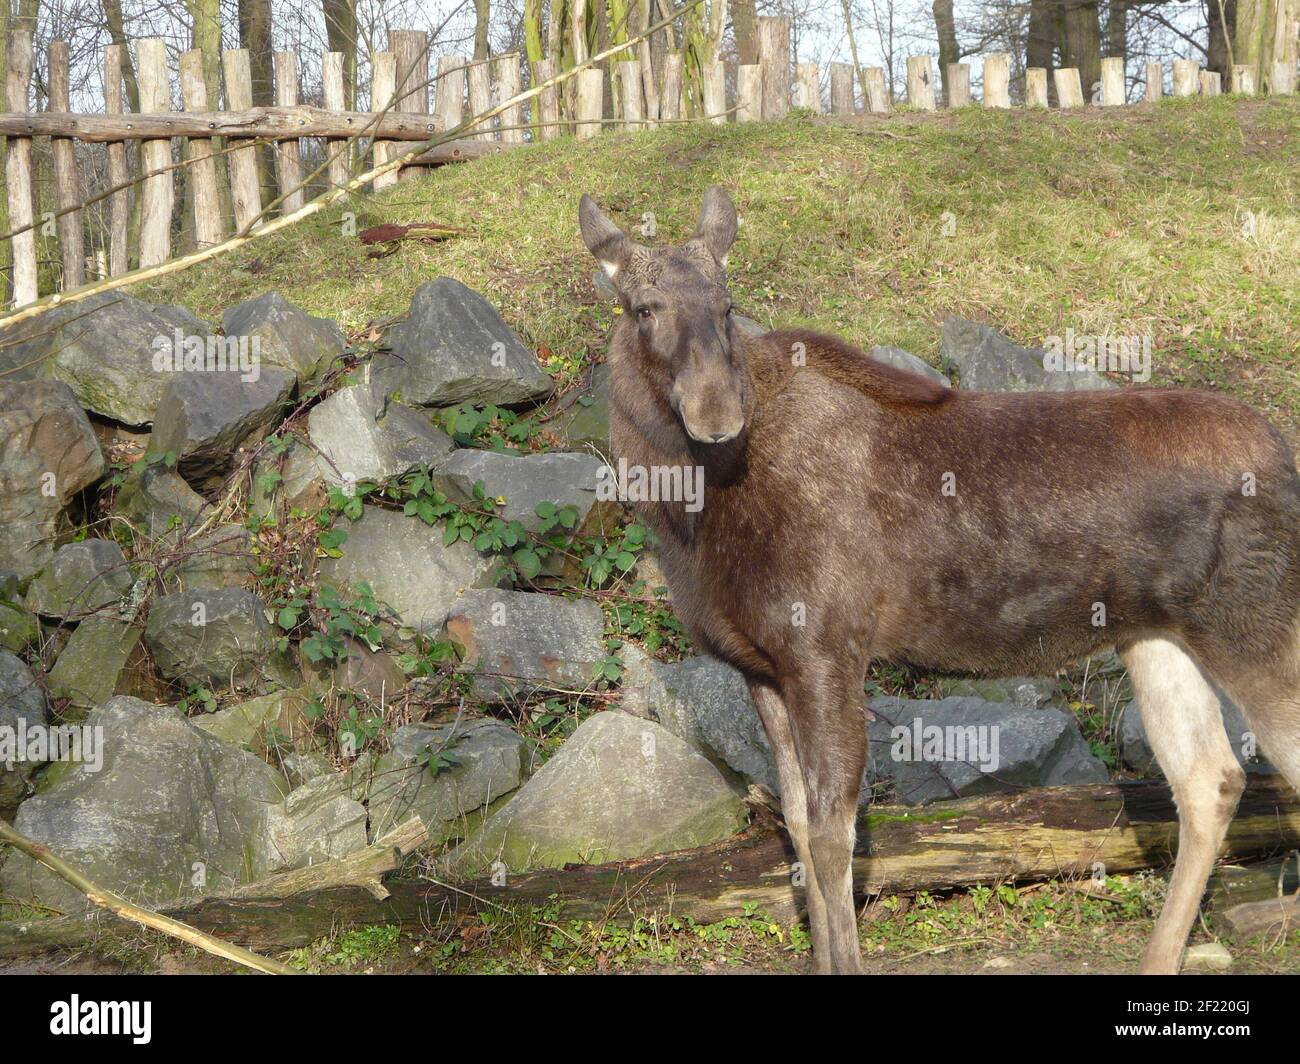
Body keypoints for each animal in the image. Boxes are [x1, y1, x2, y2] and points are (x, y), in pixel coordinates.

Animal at [579, 186, 1300, 975]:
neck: (690, 517)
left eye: (728, 303)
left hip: (1257, 629)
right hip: (1156, 637)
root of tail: (1285, 457)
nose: (717, 410)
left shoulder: (827, 650)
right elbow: (795, 825)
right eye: (642, 308)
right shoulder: (761, 667)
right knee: (1210, 780)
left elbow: (833, 837)